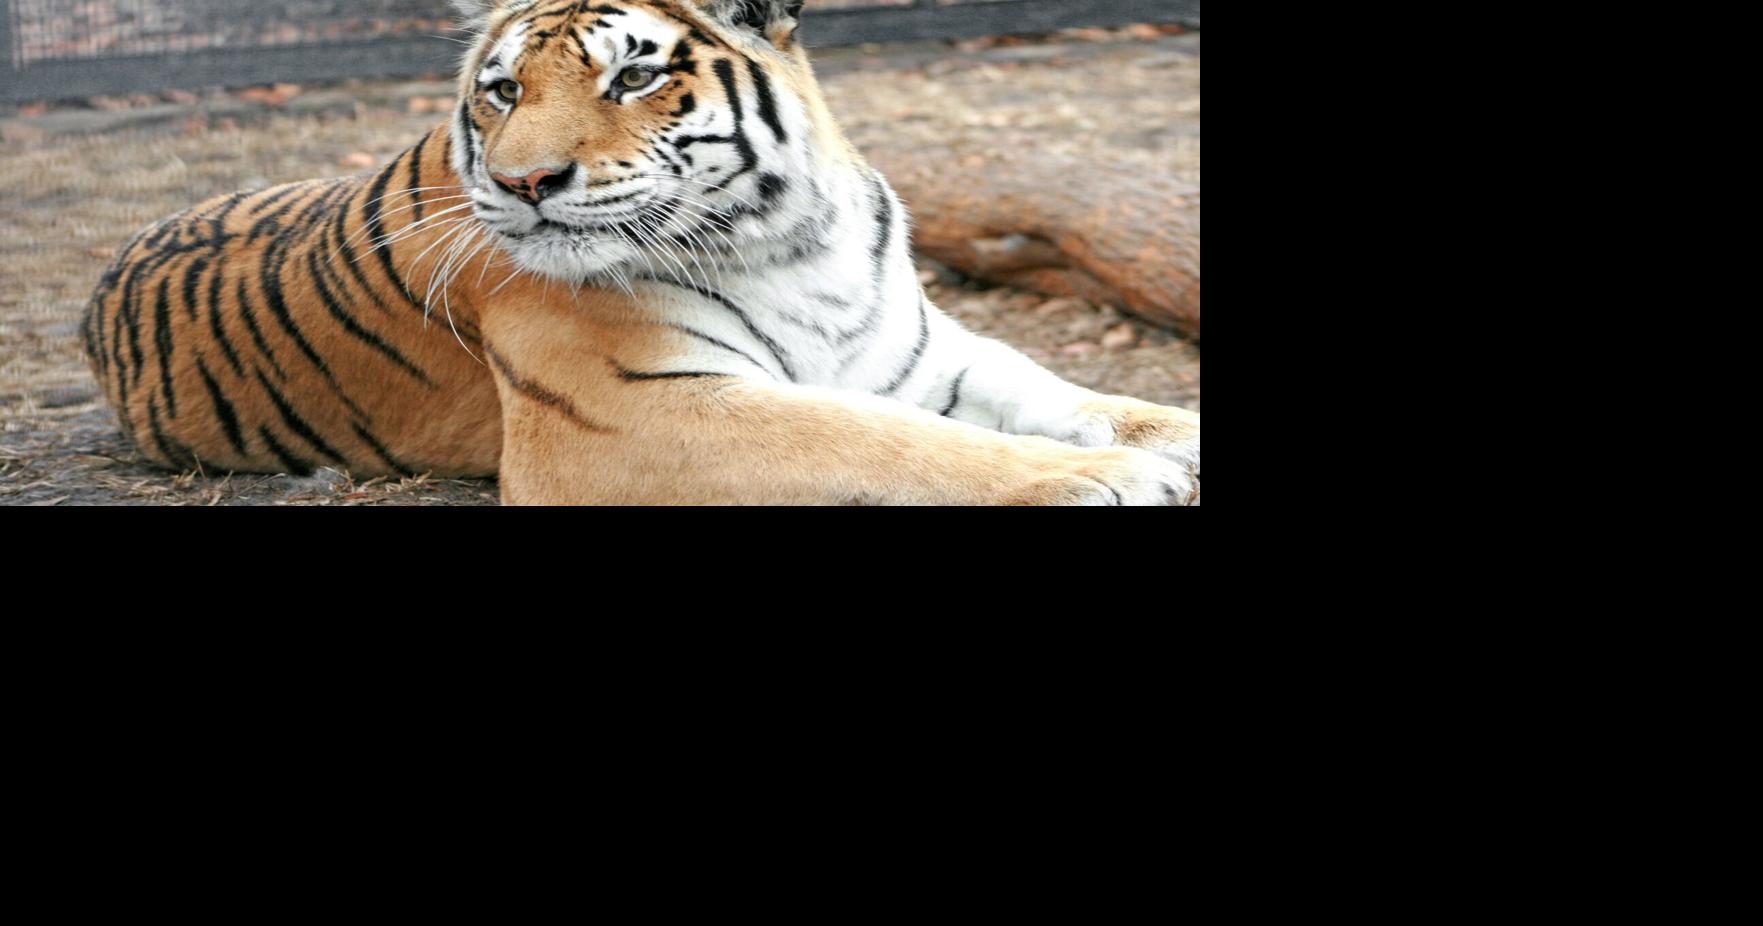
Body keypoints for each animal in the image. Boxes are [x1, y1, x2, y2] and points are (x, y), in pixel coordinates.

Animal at [80, 0, 1201, 505]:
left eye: (630, 79)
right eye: (503, 91)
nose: (526, 183)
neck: (792, 239)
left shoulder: (918, 349)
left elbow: (1074, 392)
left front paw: (1160, 436)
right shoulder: (629, 412)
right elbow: (886, 440)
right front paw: (1104, 478)